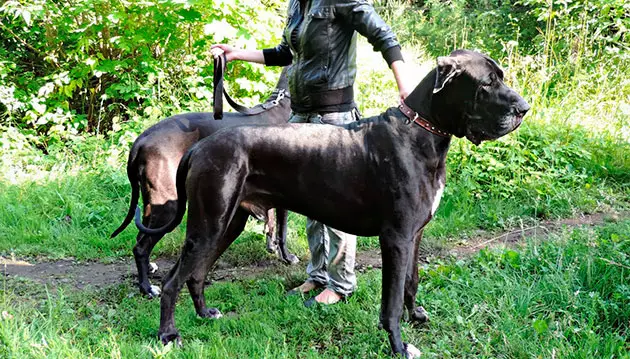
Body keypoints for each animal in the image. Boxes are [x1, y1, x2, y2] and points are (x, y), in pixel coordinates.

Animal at [111, 67, 298, 298]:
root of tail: (141, 140)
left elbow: (271, 223)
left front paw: (271, 245)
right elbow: (282, 229)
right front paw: (287, 257)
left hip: (152, 203)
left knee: (141, 236)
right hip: (168, 205)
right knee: (141, 247)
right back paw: (147, 288)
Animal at [137, 50, 528, 358]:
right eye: (488, 82)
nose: (524, 108)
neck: (422, 133)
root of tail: (199, 148)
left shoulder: (414, 235)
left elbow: (411, 282)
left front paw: (416, 316)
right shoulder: (396, 238)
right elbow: (390, 302)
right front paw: (398, 346)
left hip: (227, 223)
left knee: (197, 273)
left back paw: (205, 315)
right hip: (209, 223)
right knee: (173, 280)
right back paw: (168, 335)